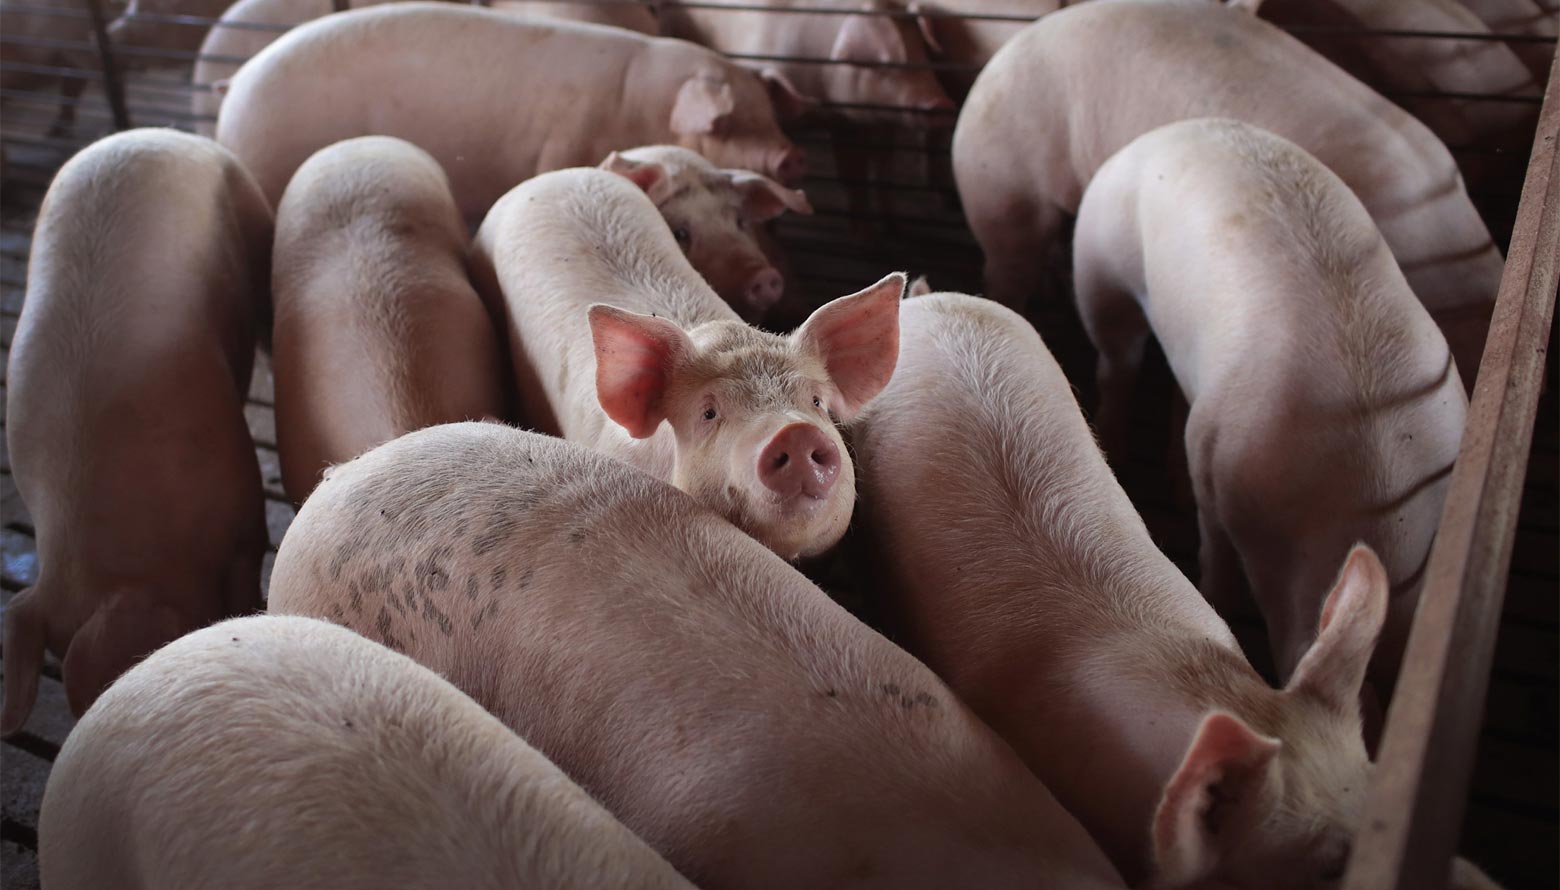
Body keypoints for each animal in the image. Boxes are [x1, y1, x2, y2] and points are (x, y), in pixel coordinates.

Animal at [215, 3, 808, 216]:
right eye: (724, 122)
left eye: (768, 112)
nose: (790, 155)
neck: (639, 107)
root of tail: (235, 83)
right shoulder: (564, 144)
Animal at [1072, 119, 1468, 706]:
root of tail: (1161, 133)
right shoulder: (1215, 460)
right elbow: (1215, 553)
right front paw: (1216, 595)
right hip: (1100, 265)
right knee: (1117, 363)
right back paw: (1117, 448)